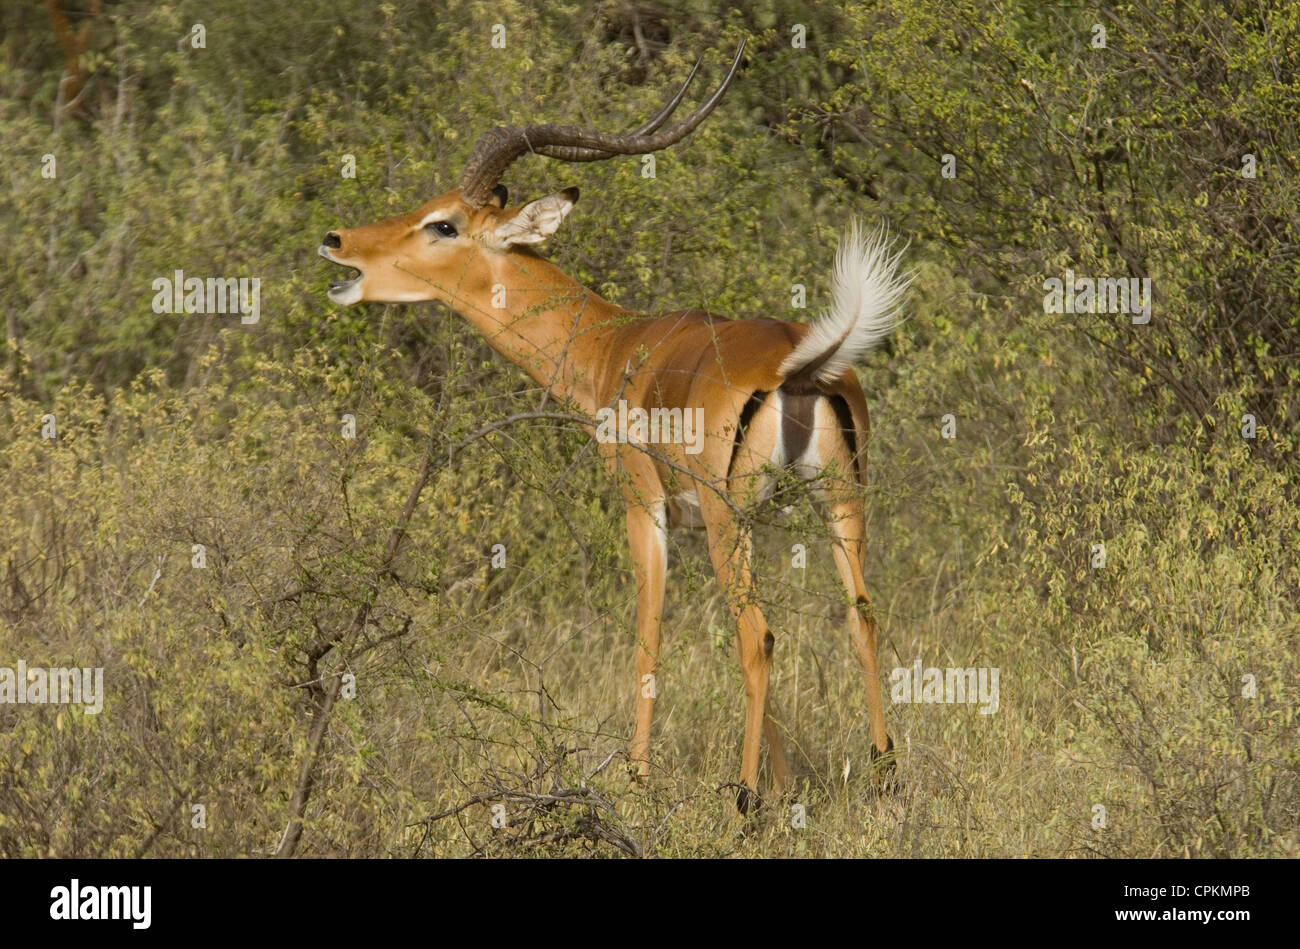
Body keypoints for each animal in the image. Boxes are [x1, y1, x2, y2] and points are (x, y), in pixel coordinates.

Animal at [318, 43, 910, 812]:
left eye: (443, 223)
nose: (336, 240)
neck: (613, 349)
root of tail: (804, 361)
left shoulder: (646, 505)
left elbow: (647, 637)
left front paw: (638, 780)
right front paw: (786, 788)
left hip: (734, 515)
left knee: (759, 635)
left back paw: (742, 799)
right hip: (837, 502)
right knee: (860, 618)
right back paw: (884, 781)